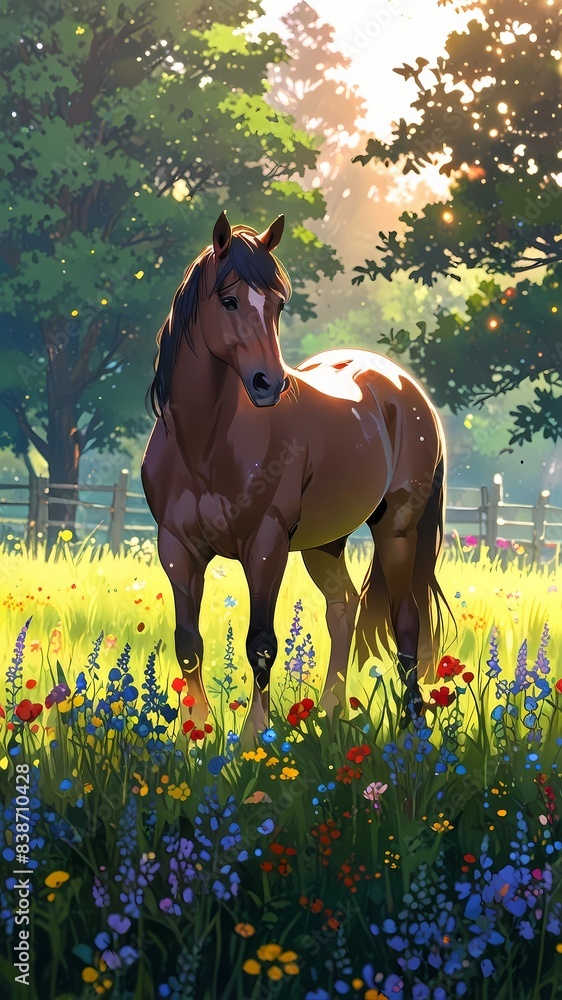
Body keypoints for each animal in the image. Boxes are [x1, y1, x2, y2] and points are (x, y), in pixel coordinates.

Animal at [141, 211, 449, 739]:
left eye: (278, 304)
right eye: (228, 300)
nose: (269, 384)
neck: (204, 444)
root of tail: (403, 385)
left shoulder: (265, 545)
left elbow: (260, 644)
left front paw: (254, 738)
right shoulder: (176, 548)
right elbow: (188, 644)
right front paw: (195, 731)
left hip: (397, 529)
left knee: (405, 620)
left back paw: (413, 728)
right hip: (325, 542)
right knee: (343, 606)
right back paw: (331, 712)